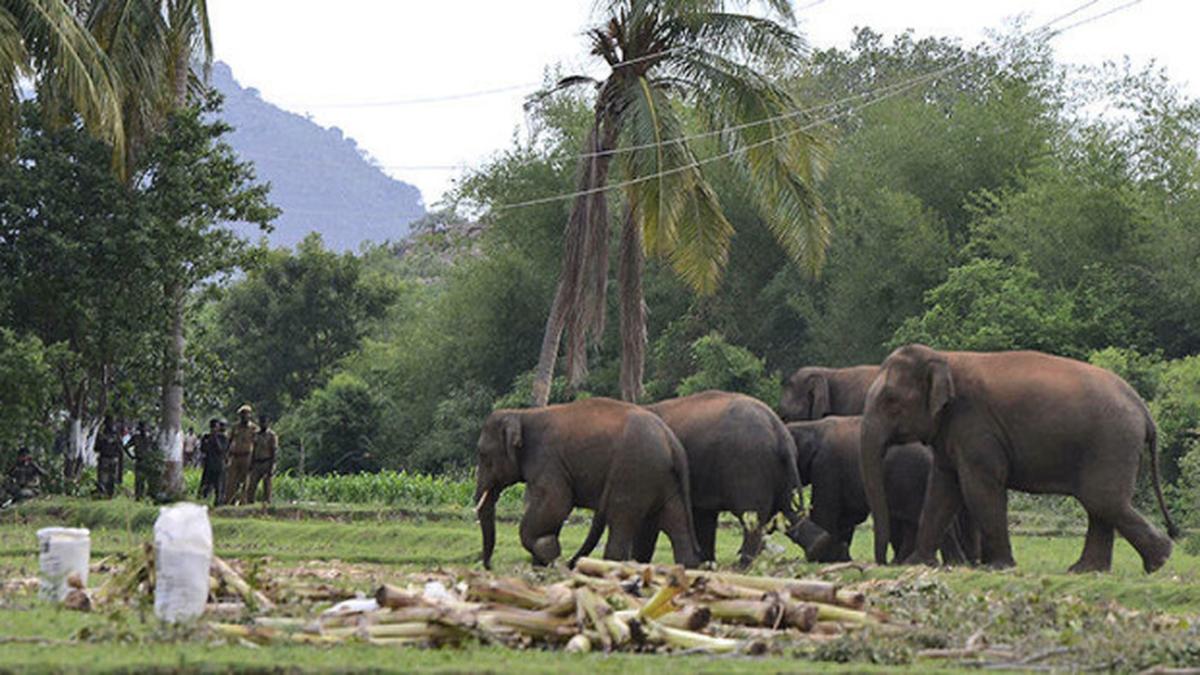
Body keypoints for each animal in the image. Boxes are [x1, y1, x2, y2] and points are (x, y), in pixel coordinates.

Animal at [473, 397, 700, 570]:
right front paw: (543, 562)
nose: (488, 566)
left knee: (621, 519)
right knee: (675, 522)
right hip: (665, 479)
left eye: (483, 455)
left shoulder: (547, 459)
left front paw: (549, 550)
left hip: (634, 473)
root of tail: (672, 443)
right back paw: (687, 568)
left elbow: (556, 503)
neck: (523, 414)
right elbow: (553, 513)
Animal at [568, 391, 828, 568]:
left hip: (748, 467)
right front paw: (704, 562)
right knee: (786, 511)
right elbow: (702, 517)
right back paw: (820, 547)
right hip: (777, 471)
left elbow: (649, 522)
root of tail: (779, 431)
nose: (571, 563)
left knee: (753, 515)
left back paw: (742, 564)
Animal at [787, 416, 978, 564]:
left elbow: (824, 513)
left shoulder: (826, 466)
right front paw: (841, 557)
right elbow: (845, 518)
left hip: (912, 476)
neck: (811, 426)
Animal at [860, 344, 1179, 573]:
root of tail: (1144, 410)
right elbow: (941, 491)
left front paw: (999, 567)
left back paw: (1159, 560)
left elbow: (980, 488)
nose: (883, 563)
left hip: (1111, 442)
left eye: (891, 400)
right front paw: (916, 563)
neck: (943, 357)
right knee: (1099, 504)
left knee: (1102, 499)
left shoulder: (976, 426)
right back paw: (1088, 570)